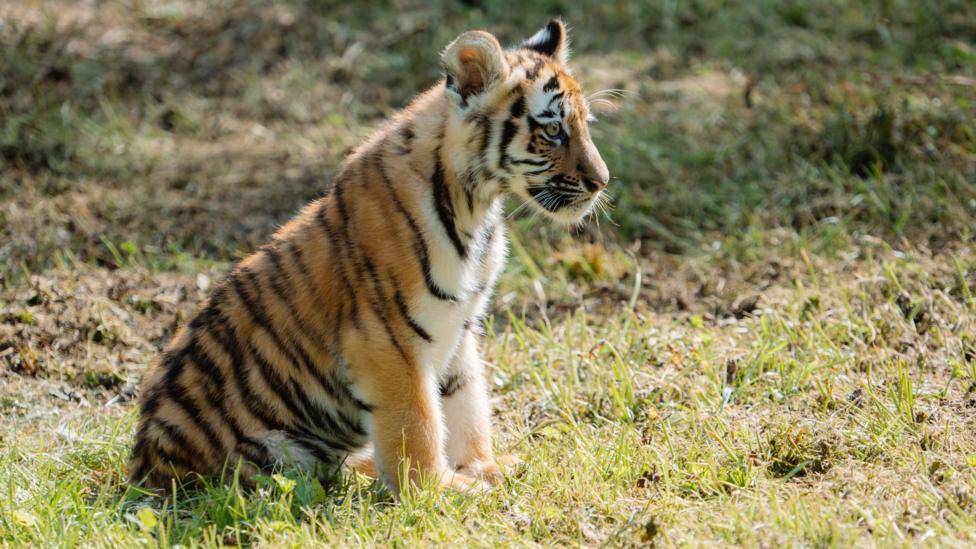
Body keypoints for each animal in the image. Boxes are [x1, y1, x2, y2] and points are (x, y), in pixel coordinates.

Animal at [128, 19, 609, 494]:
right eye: (553, 130)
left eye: (584, 124)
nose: (602, 181)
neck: (476, 204)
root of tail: (144, 470)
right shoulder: (386, 336)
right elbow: (417, 420)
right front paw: (436, 489)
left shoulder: (462, 324)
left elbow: (465, 401)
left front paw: (483, 468)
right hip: (272, 453)